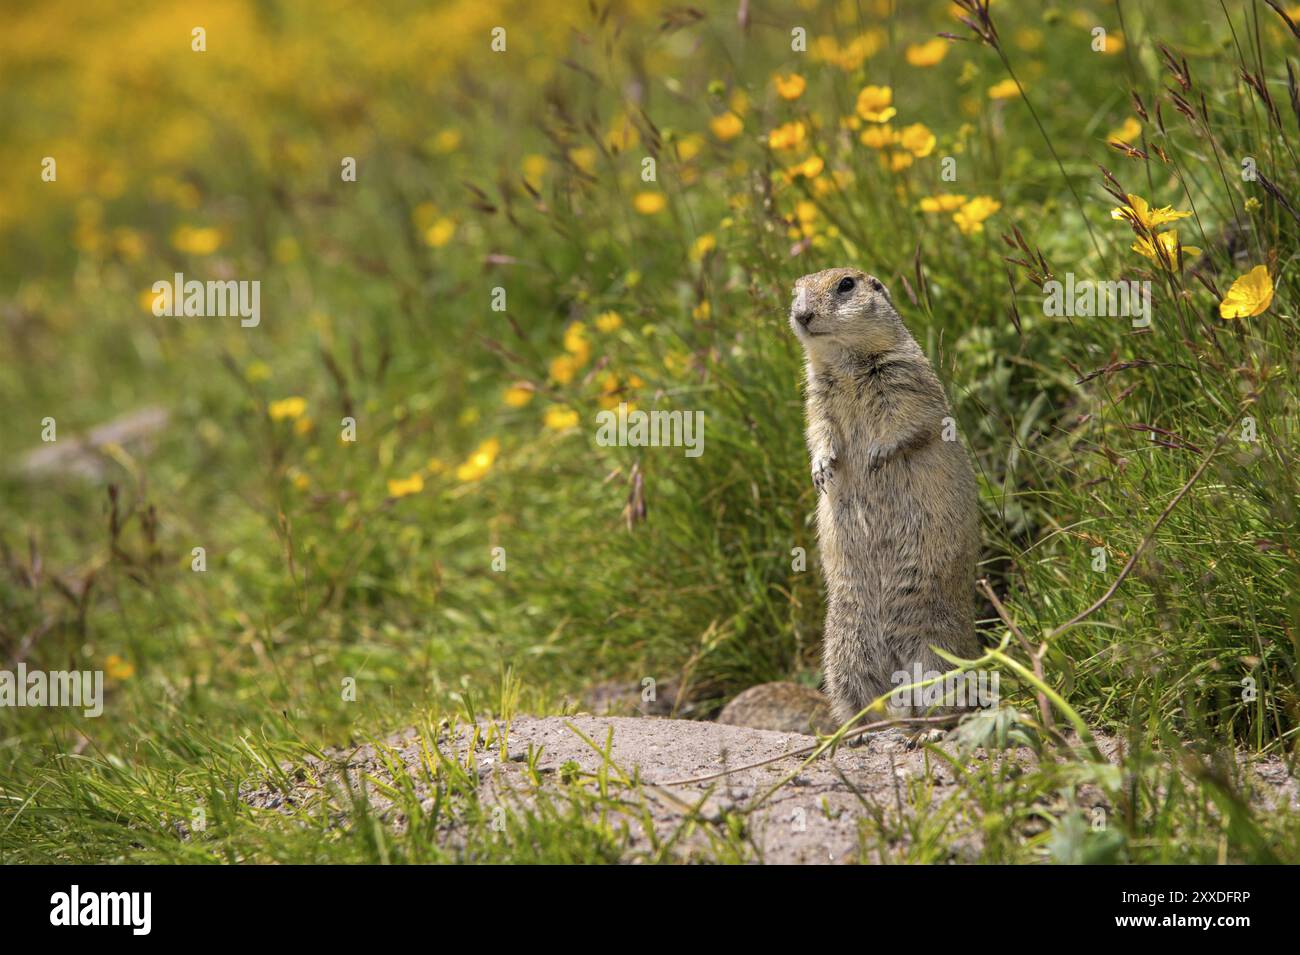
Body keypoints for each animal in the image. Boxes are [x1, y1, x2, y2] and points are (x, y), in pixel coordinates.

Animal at [789, 267, 981, 730]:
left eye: (846, 285)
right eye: (795, 289)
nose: (802, 315)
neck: (845, 360)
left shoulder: (906, 377)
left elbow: (908, 420)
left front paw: (877, 456)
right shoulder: (816, 398)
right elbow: (819, 431)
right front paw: (822, 470)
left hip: (935, 642)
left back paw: (926, 729)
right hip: (843, 650)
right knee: (863, 695)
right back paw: (858, 730)